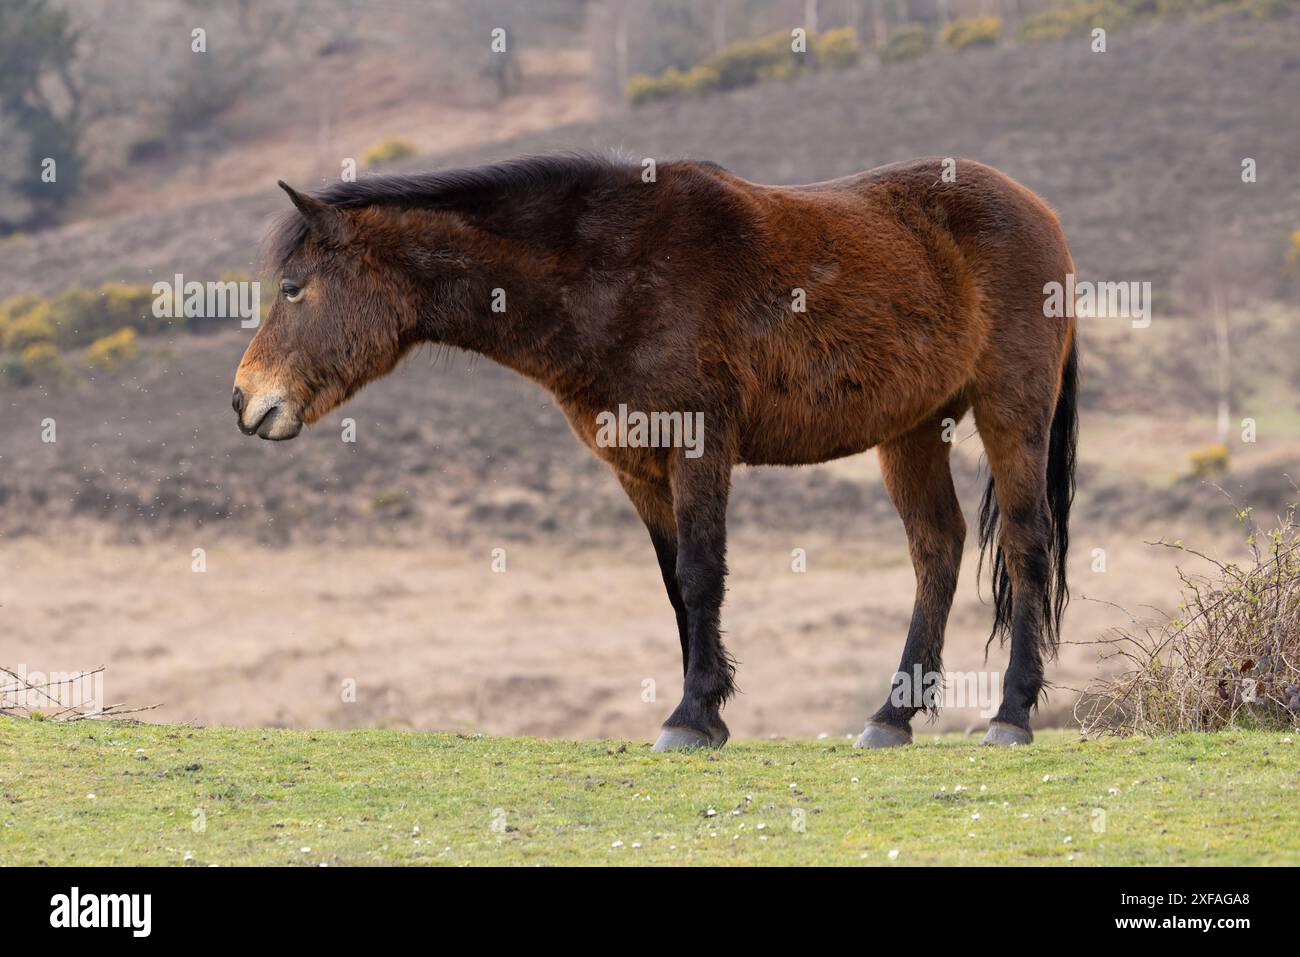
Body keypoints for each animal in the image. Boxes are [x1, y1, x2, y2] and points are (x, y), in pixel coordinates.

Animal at [232, 154, 1078, 751]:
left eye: (296, 287)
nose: (246, 400)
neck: (613, 271)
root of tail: (1040, 212)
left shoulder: (699, 446)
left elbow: (703, 574)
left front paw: (692, 716)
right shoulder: (638, 467)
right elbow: (676, 587)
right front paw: (707, 705)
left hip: (1011, 409)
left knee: (1027, 544)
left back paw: (1011, 712)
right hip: (913, 429)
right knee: (938, 548)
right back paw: (892, 715)